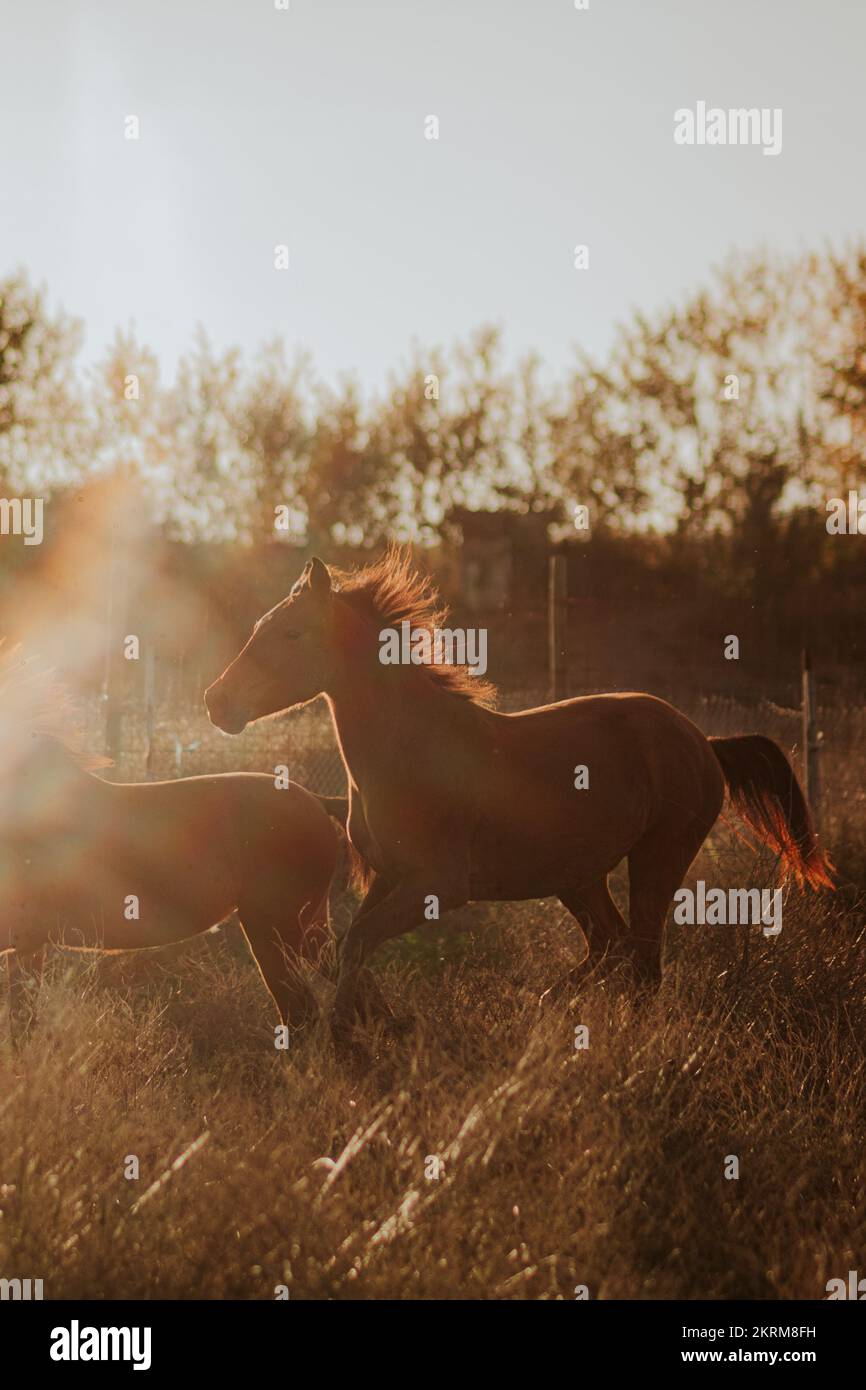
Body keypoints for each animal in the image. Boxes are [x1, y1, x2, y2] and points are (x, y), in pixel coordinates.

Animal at [0, 653, 343, 1030]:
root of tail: (317, 801)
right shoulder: (28, 946)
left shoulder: (25, 941)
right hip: (304, 927)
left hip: (276, 930)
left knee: (306, 1010)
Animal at [204, 548, 834, 1039]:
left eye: (290, 633)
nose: (216, 703)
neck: (411, 750)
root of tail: (702, 739)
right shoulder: (390, 876)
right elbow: (349, 945)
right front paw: (372, 1021)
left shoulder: (439, 887)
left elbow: (357, 942)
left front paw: (349, 1030)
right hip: (577, 875)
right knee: (611, 945)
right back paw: (545, 1006)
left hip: (658, 855)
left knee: (642, 960)